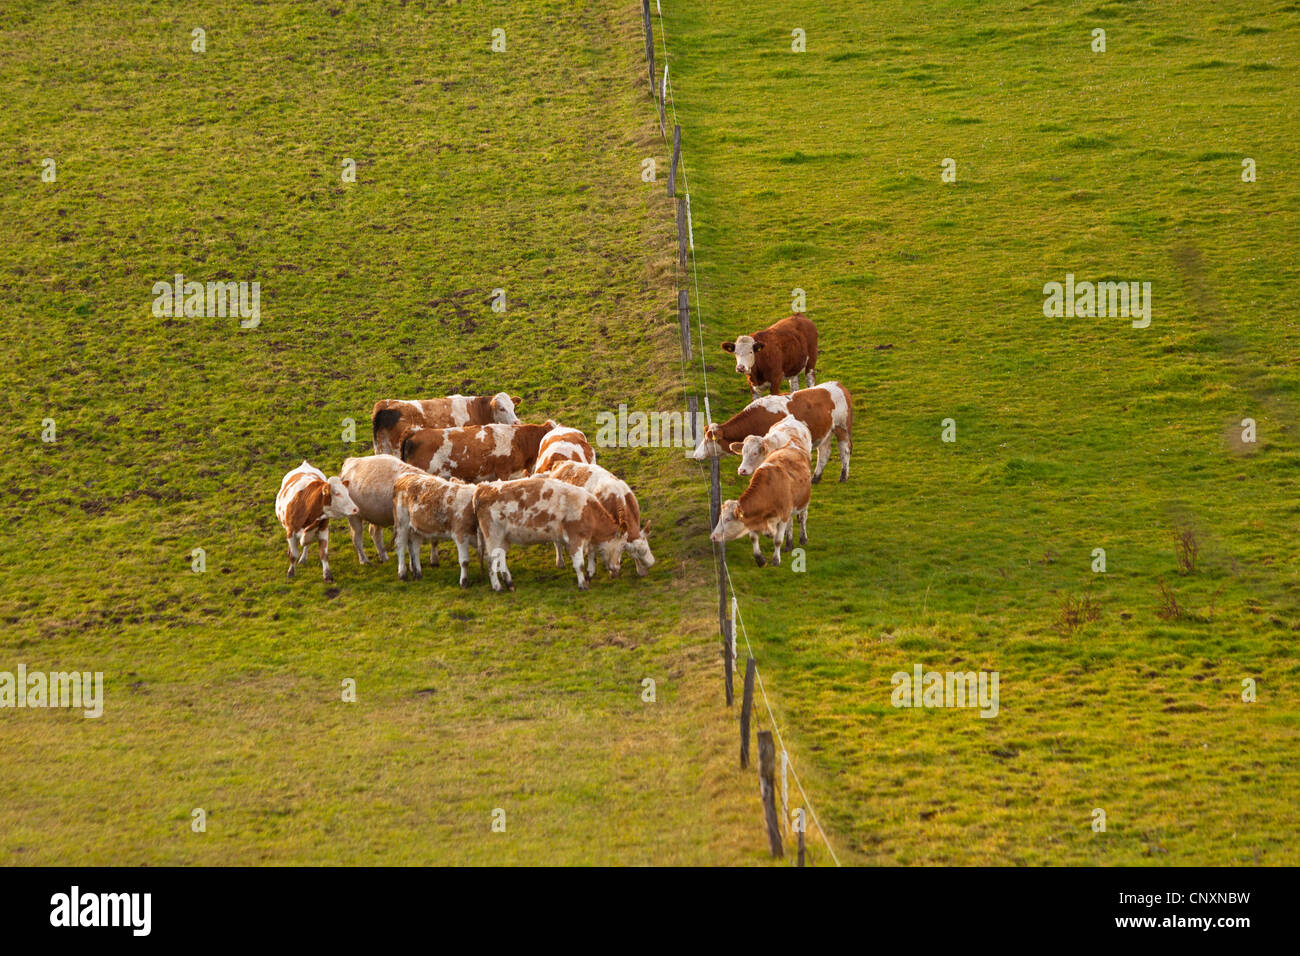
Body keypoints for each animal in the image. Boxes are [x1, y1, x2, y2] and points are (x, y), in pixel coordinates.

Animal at [371, 392, 520, 455]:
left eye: (513, 407)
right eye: (502, 408)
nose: (517, 422)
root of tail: (386, 404)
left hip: (381, 448)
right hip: (396, 449)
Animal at [473, 476, 629, 591]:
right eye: (622, 546)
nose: (617, 569)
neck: (588, 509)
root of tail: (483, 487)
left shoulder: (585, 538)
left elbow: (591, 556)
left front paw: (589, 575)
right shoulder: (575, 538)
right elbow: (579, 563)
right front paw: (583, 584)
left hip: (503, 538)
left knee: (500, 558)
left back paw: (509, 583)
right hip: (493, 535)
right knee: (491, 559)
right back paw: (497, 586)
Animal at [691, 381, 852, 482]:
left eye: (708, 439)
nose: (695, 455)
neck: (756, 419)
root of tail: (837, 384)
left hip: (842, 428)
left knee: (844, 450)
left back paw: (843, 476)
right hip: (826, 433)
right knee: (824, 453)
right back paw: (815, 478)